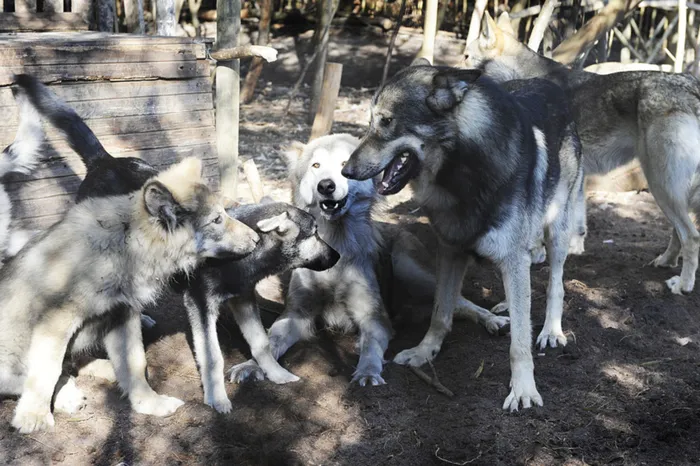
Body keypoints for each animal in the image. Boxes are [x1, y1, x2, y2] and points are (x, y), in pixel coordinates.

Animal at [0, 155, 260, 433]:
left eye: (224, 214)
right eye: (216, 220)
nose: (257, 239)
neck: (123, 247)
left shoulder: (121, 315)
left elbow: (136, 364)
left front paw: (148, 403)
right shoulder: (57, 319)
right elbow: (46, 372)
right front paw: (33, 417)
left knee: (73, 364)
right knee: (43, 374)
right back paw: (67, 396)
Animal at [229, 134, 511, 387]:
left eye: (344, 165)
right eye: (316, 166)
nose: (326, 186)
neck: (337, 248)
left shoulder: (373, 316)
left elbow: (371, 347)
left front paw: (367, 371)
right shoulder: (296, 313)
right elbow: (270, 340)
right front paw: (252, 366)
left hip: (410, 270)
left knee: (458, 302)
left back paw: (493, 320)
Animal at [341, 64, 583, 410]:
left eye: (386, 121)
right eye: (370, 122)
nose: (345, 171)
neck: (462, 174)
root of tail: (549, 85)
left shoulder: (511, 257)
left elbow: (519, 343)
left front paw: (523, 389)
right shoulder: (450, 250)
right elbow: (441, 312)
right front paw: (424, 352)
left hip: (558, 229)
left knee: (555, 283)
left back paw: (551, 330)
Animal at [465, 13, 700, 295]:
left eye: (466, 56)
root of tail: (690, 83)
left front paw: (539, 254)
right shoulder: (575, 176)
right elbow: (577, 220)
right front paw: (572, 247)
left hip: (660, 184)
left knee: (691, 235)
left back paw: (683, 285)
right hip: (666, 186)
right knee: (679, 231)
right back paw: (666, 262)